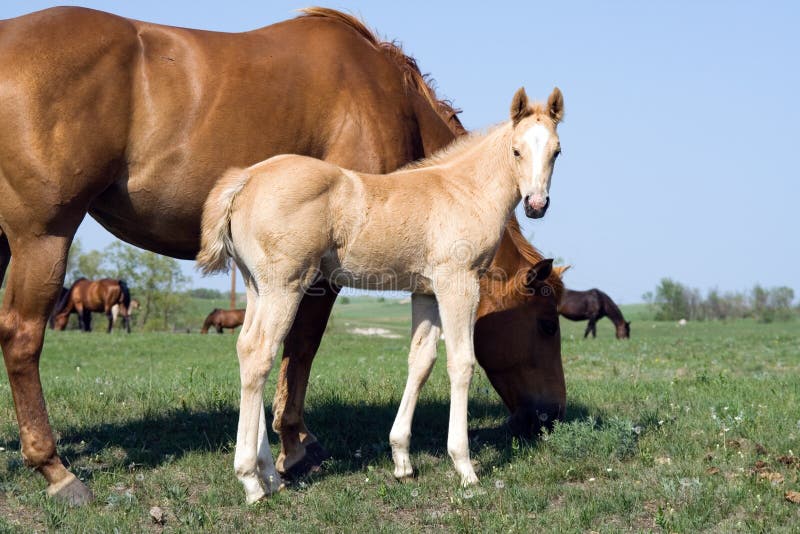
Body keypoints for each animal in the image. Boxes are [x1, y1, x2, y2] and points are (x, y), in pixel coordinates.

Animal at [197, 86, 564, 501]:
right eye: (516, 151)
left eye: (556, 150)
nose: (536, 205)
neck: (464, 192)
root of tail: (245, 178)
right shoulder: (458, 283)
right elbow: (461, 363)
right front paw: (465, 467)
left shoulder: (425, 292)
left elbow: (421, 361)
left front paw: (402, 460)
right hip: (284, 284)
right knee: (260, 353)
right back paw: (251, 481)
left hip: (256, 285)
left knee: (246, 348)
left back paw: (270, 477)